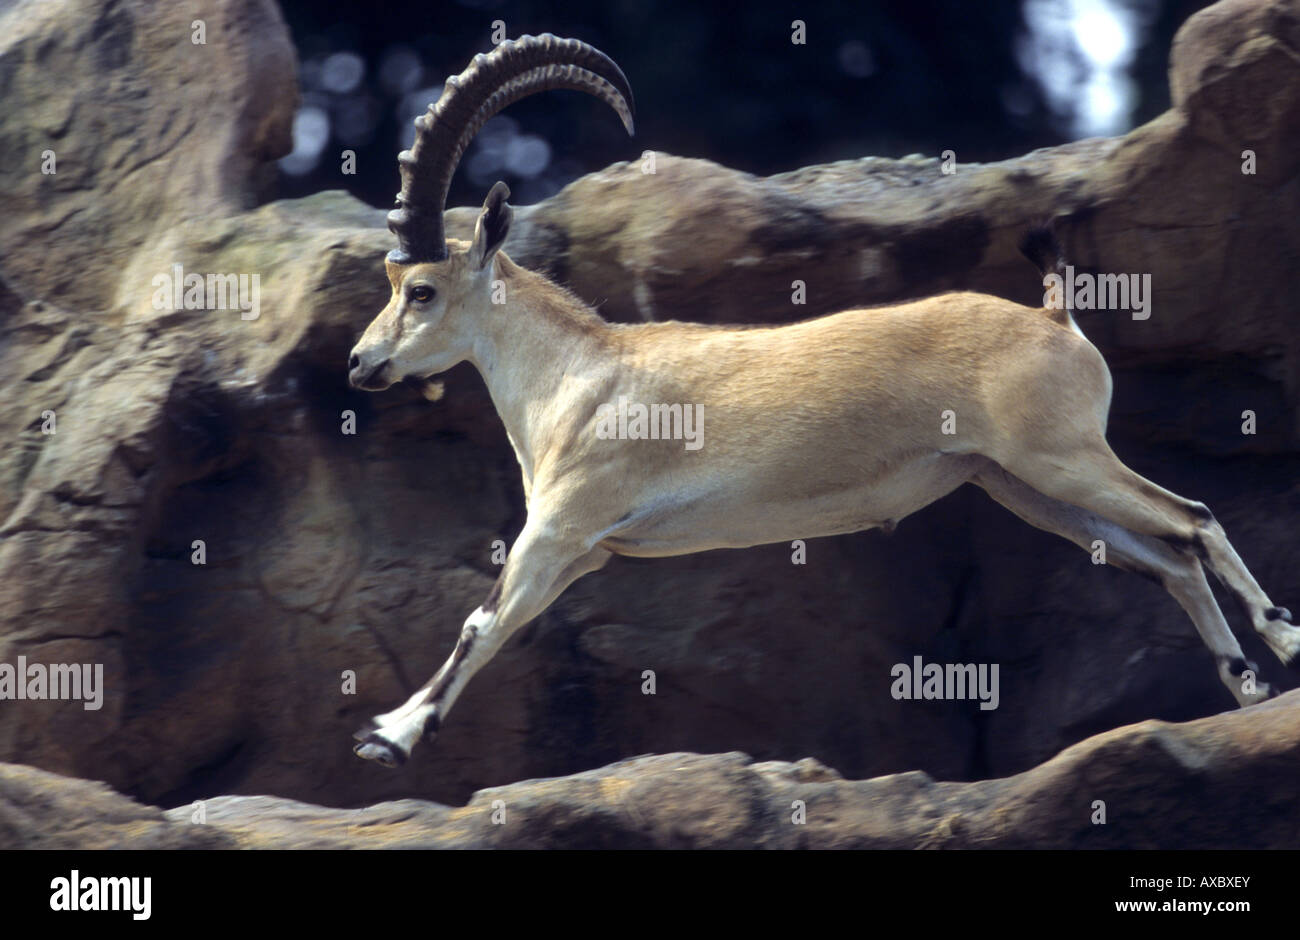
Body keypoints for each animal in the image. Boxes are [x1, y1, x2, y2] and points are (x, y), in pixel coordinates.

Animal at [347, 34, 1298, 768]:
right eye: (393, 282)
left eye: (422, 290)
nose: (360, 363)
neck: (581, 375)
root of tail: (1054, 320)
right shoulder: (587, 552)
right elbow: (495, 620)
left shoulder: (560, 532)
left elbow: (481, 623)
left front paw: (388, 738)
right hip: (1025, 486)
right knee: (1169, 553)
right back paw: (1245, 682)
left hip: (1061, 457)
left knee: (1192, 515)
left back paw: (1282, 640)